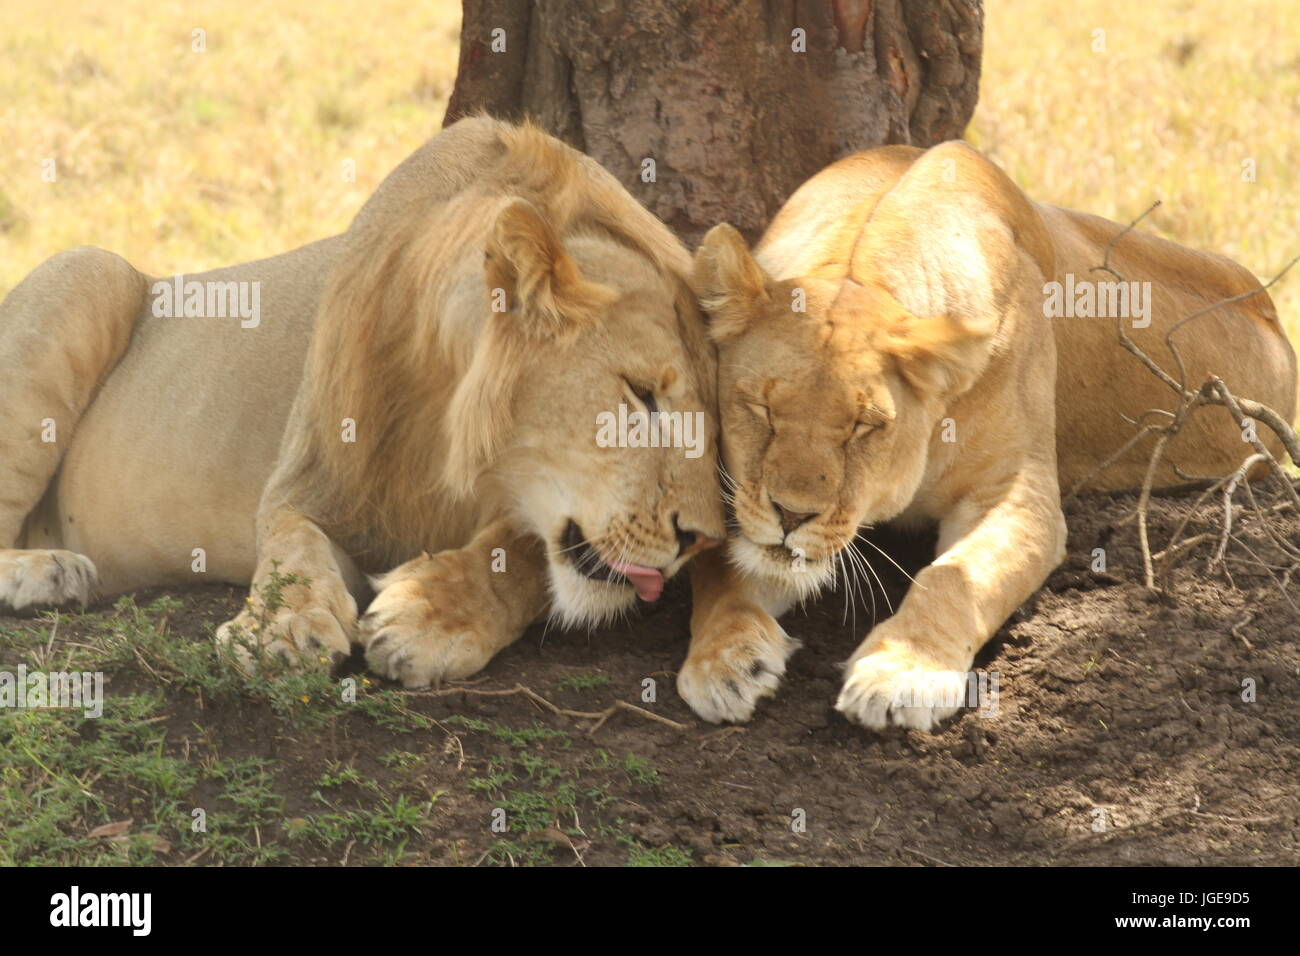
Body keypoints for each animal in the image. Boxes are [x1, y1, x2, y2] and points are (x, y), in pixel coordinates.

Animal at [0, 116, 724, 686]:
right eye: (642, 397)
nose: (701, 540)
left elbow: (517, 555)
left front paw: (432, 619)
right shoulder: (309, 479)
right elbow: (292, 548)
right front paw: (281, 631)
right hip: (84, 270)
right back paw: (49, 572)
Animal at [681, 141, 1296, 731]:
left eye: (864, 426)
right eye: (762, 408)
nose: (791, 515)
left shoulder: (1017, 494)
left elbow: (954, 579)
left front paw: (903, 673)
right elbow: (720, 569)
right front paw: (725, 659)